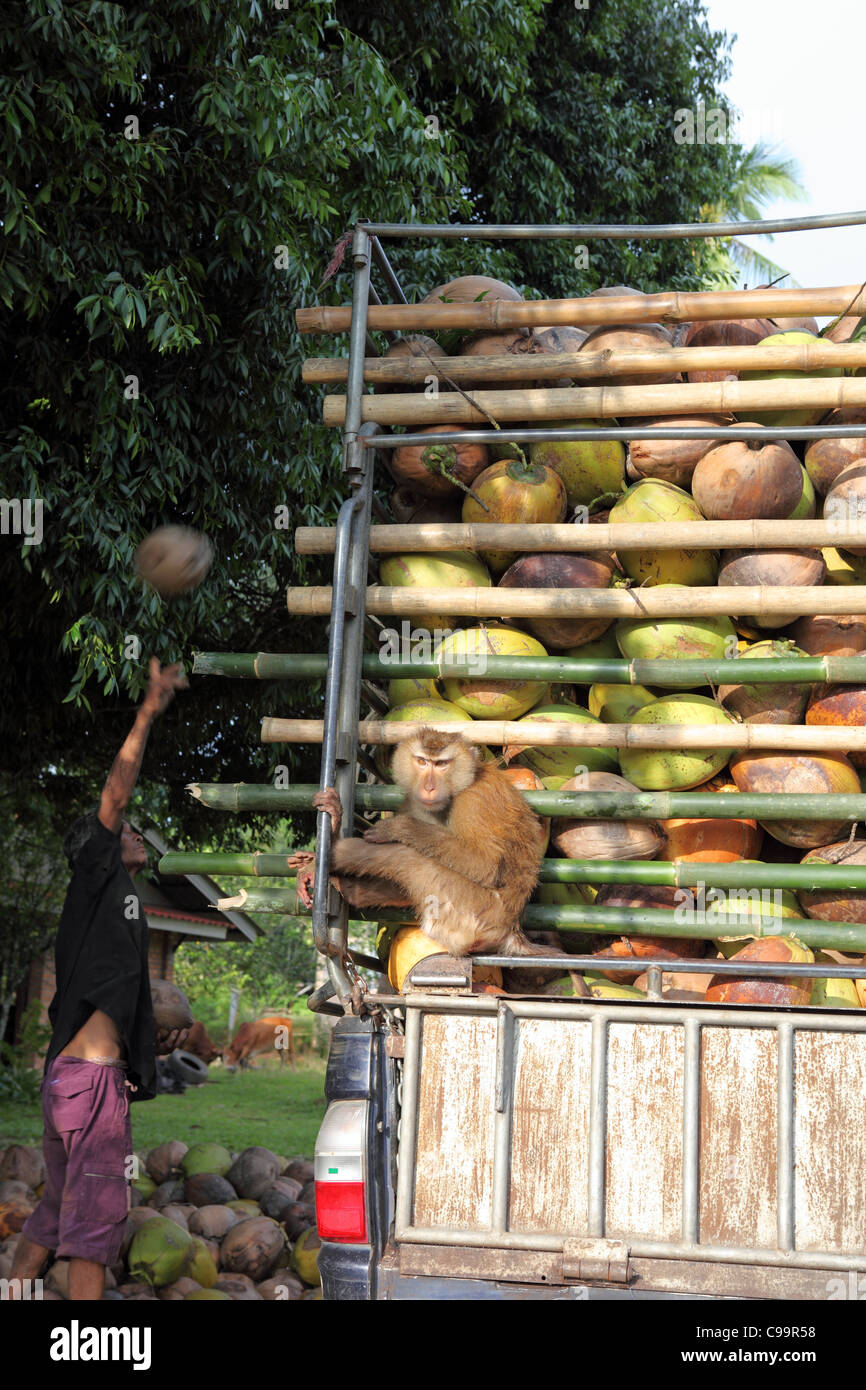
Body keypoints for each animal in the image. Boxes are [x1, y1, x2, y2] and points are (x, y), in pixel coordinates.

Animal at [289, 729, 589, 994]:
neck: (460, 786)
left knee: (406, 856)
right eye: (423, 761)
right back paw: (343, 881)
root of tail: (511, 932)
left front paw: (400, 828)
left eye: (442, 764)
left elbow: (485, 864)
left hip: (468, 910)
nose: (429, 787)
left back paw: (333, 858)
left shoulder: (473, 802)